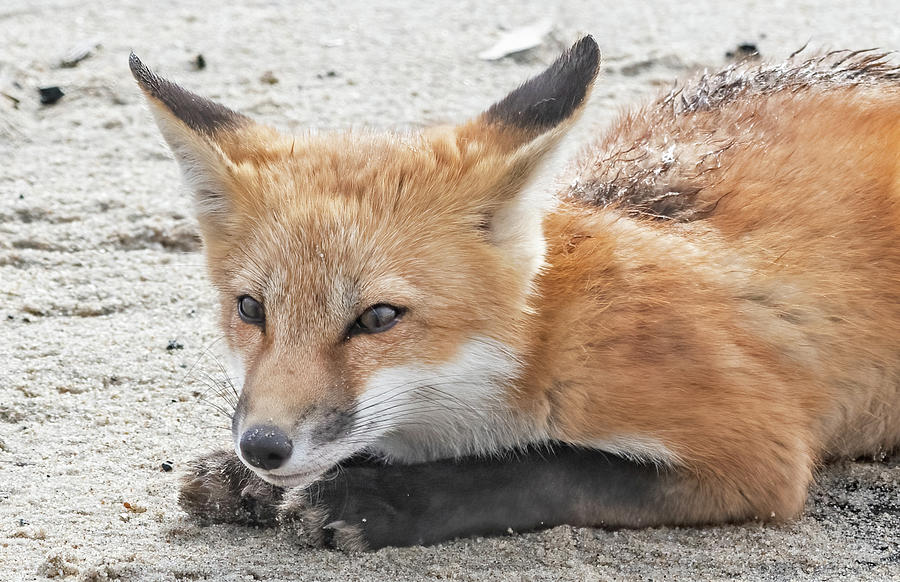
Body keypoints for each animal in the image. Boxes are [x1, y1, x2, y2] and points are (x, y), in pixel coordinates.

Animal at [130, 37, 900, 551]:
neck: (541, 346)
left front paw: (375, 499)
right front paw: (247, 481)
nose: (262, 447)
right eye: (250, 309)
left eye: (378, 317)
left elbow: (546, 470)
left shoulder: (755, 456)